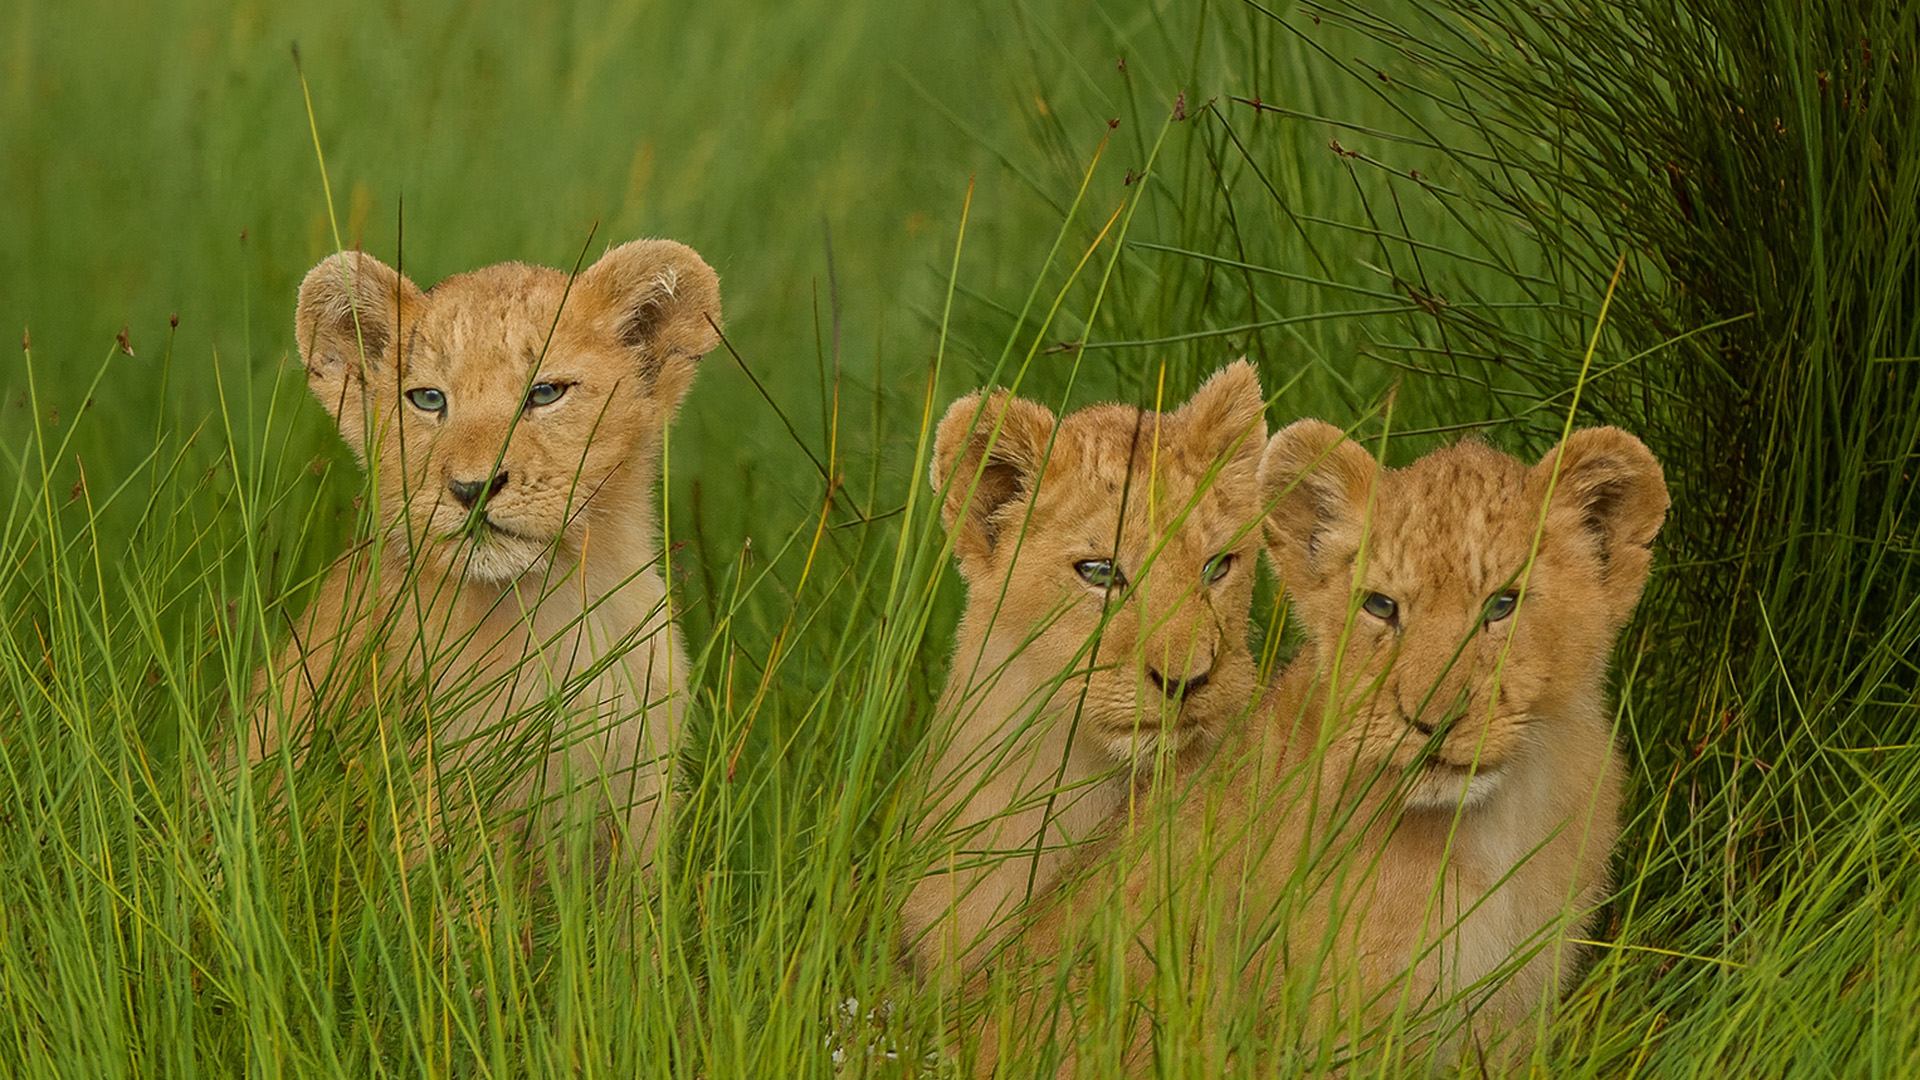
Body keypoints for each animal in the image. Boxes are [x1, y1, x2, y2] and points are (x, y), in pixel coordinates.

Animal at [248, 238, 720, 865]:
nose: (472, 487)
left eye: (545, 393)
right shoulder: (442, 797)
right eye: (428, 399)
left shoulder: (642, 794)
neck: (550, 610)